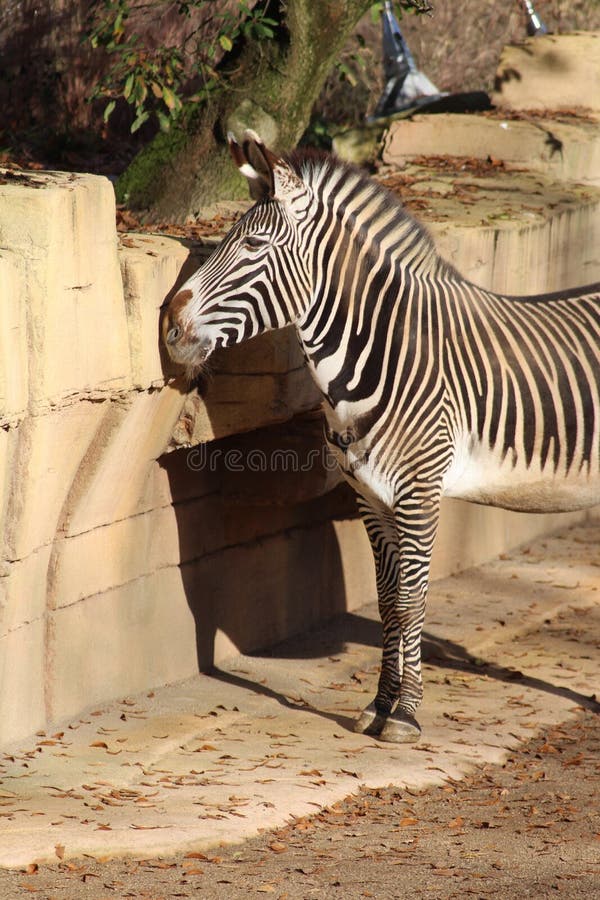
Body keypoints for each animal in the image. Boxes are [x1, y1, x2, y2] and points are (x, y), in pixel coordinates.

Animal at [162, 132, 600, 743]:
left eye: (251, 245)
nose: (170, 329)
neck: (382, 355)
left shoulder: (421, 492)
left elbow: (413, 598)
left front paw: (408, 714)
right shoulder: (370, 495)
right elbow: (388, 599)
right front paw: (379, 704)